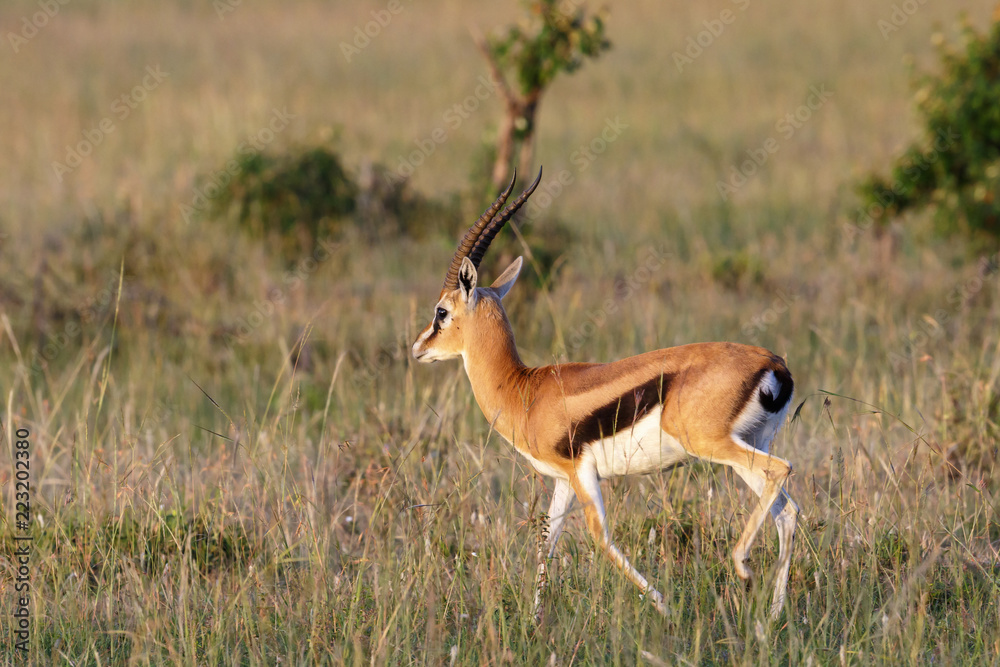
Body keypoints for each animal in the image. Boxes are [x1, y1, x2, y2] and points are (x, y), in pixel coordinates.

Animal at [411, 169, 799, 620]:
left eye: (441, 311)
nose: (417, 348)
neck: (524, 389)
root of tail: (774, 363)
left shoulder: (582, 472)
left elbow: (599, 535)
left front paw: (666, 608)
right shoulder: (563, 480)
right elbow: (548, 540)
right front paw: (535, 621)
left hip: (713, 445)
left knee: (782, 472)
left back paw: (743, 569)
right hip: (747, 446)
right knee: (787, 512)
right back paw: (775, 615)